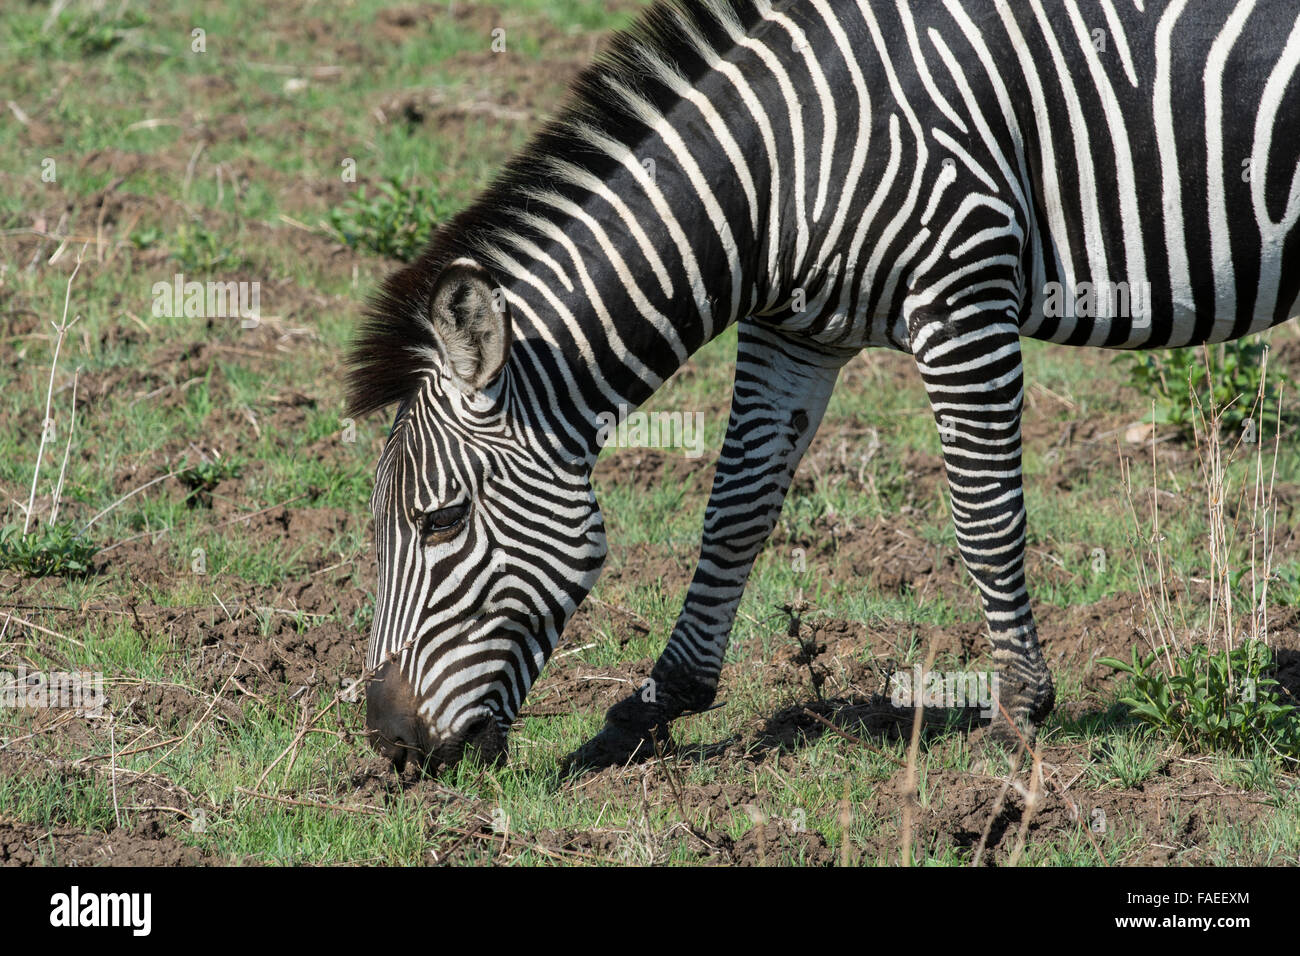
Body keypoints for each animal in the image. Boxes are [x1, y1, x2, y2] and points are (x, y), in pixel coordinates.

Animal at [347, 0, 1300, 773]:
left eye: (441, 521)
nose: (390, 744)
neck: (782, 169)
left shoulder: (963, 292)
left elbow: (985, 519)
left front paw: (1018, 714)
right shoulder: (794, 333)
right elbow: (735, 513)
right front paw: (651, 711)